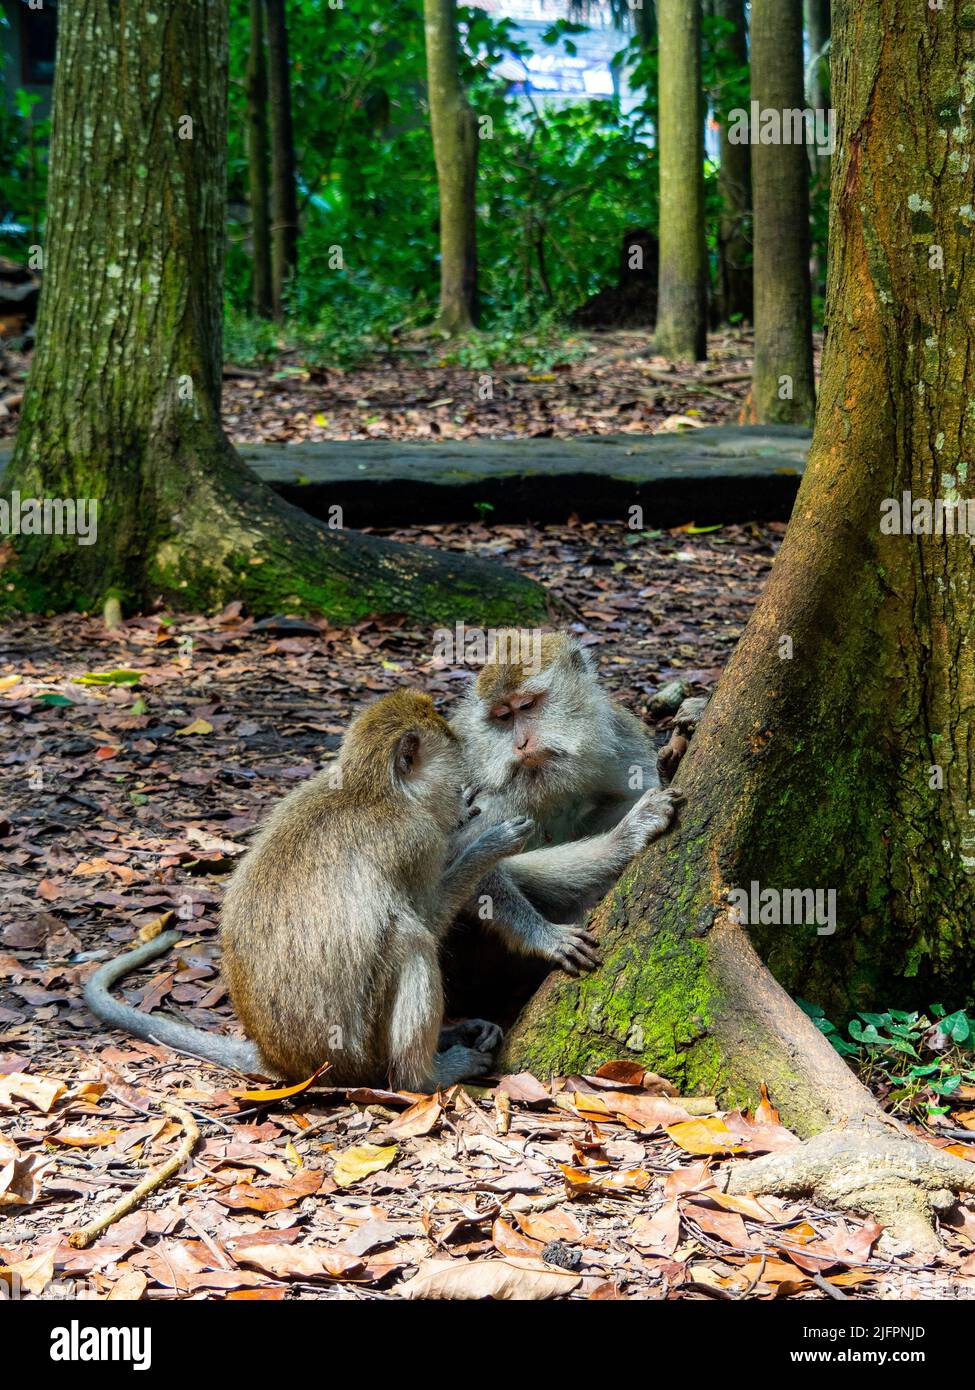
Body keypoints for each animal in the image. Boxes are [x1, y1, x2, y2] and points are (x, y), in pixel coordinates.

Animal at [84, 690, 534, 1089]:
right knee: (410, 938)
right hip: (360, 1053)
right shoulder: (414, 839)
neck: (371, 789)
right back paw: (425, 1077)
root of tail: (281, 1061)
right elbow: (429, 914)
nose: (463, 805)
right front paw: (488, 844)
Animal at [448, 631, 682, 977]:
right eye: (503, 717)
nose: (520, 744)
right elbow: (461, 854)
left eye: (527, 705)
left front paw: (669, 768)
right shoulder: (497, 789)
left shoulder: (622, 741)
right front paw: (543, 935)